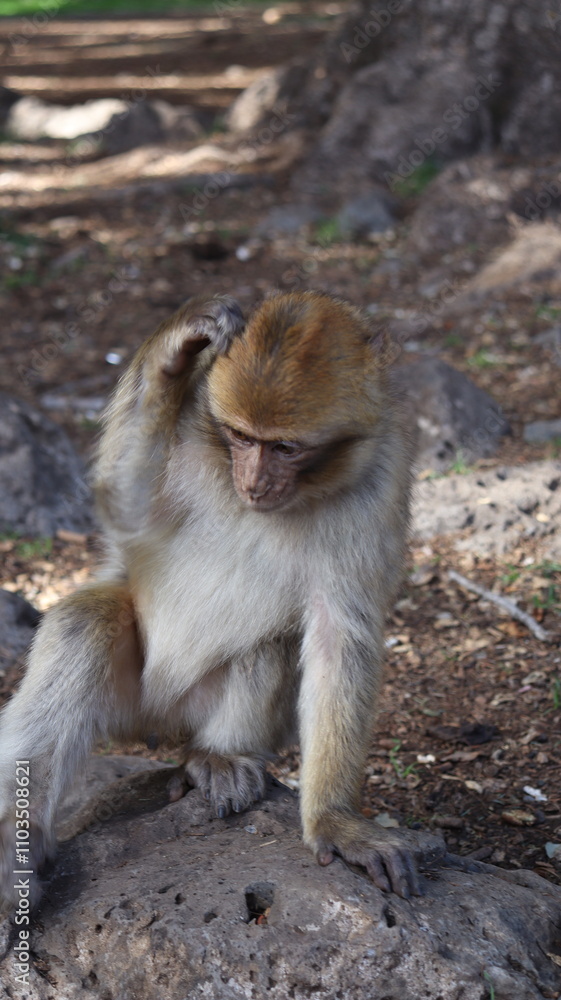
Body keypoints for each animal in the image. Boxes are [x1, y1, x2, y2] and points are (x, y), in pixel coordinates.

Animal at [0, 291, 443, 909]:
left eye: (284, 446)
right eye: (239, 437)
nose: (252, 483)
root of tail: (162, 725)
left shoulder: (381, 481)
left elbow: (340, 630)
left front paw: (335, 821)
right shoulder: (191, 425)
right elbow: (124, 511)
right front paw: (176, 346)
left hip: (194, 712)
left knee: (273, 644)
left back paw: (217, 757)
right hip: (130, 706)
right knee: (85, 621)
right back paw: (22, 838)